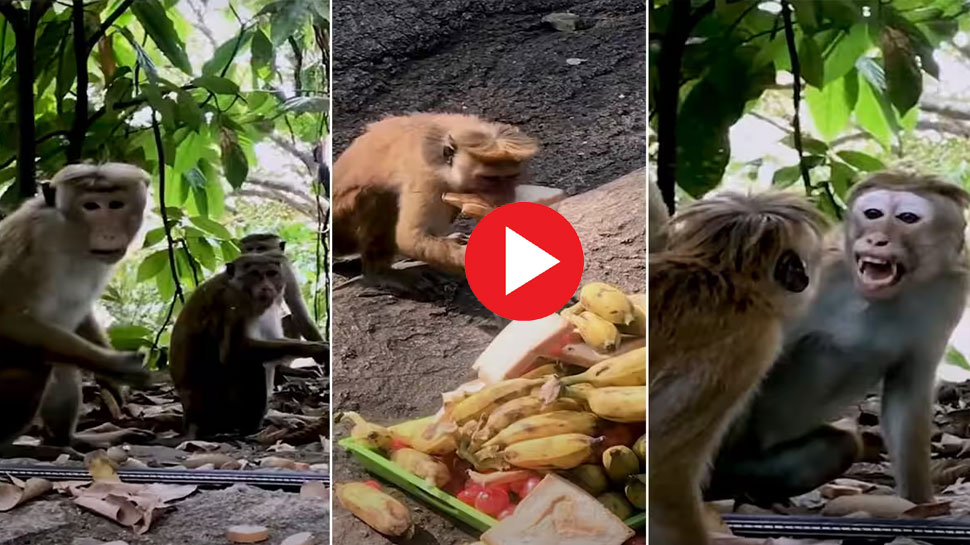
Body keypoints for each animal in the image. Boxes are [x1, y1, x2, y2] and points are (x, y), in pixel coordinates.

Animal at [0, 163, 152, 459]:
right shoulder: (31, 242)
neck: (69, 235)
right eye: (91, 206)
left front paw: (110, 381)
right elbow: (7, 318)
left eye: (115, 204)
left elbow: (81, 315)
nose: (108, 233)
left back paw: (66, 441)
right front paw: (114, 366)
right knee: (37, 362)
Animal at [169, 252, 329, 439]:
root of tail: (190, 421)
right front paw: (317, 349)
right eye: (254, 274)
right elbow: (234, 351)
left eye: (271, 274)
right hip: (218, 410)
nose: (266, 287)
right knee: (251, 366)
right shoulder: (233, 302)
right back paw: (250, 429)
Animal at [332, 113, 538, 291]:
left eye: (511, 176)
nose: (505, 195)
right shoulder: (427, 179)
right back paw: (380, 273)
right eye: (490, 179)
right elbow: (411, 237)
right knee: (379, 198)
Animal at [706, 173, 970, 507]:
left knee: (842, 446)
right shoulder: (810, 277)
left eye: (907, 218)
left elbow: (907, 394)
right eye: (873, 214)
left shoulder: (949, 292)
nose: (876, 239)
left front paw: (919, 502)